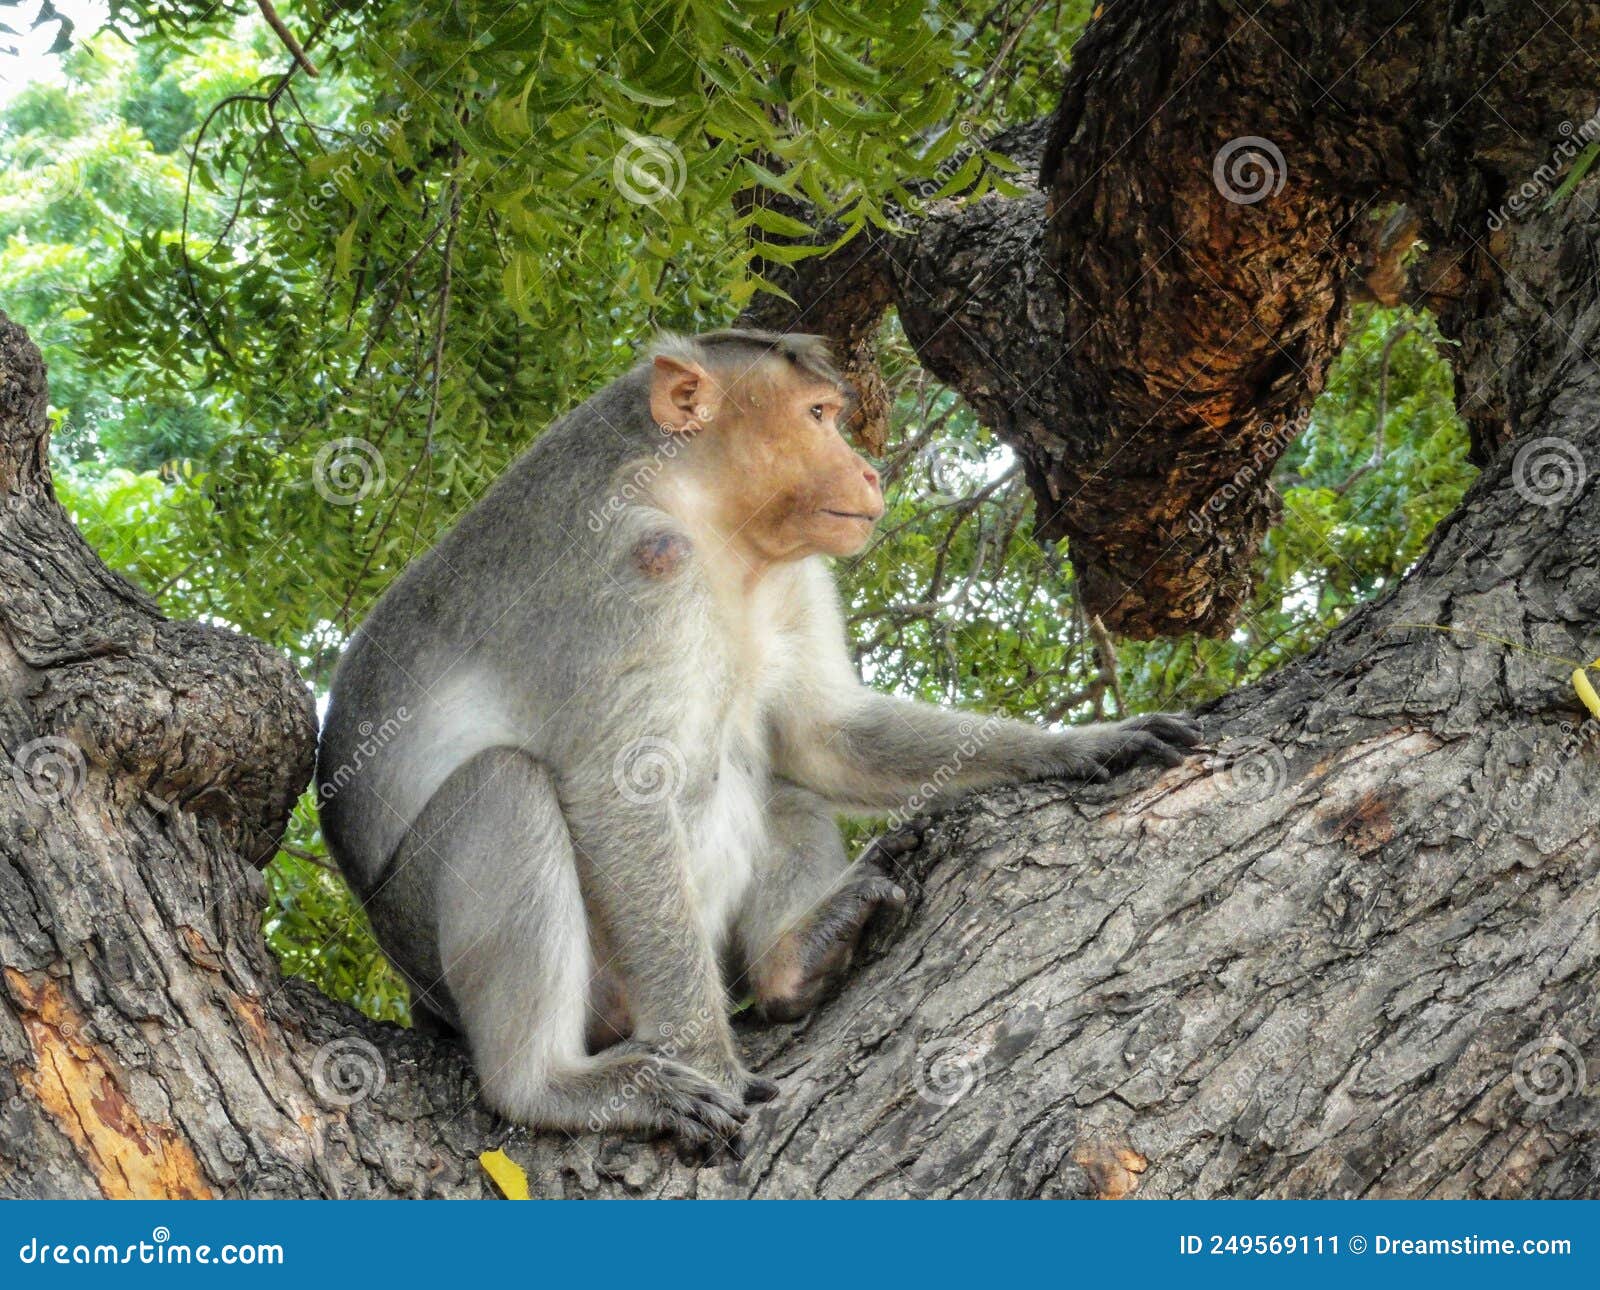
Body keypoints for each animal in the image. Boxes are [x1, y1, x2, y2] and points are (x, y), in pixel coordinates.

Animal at [316, 329, 1201, 1154]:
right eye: (817, 417)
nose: (870, 474)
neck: (710, 523)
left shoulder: (795, 566)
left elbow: (819, 735)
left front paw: (1084, 745)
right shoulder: (634, 565)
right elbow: (619, 788)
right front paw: (706, 1056)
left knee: (769, 772)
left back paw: (794, 958)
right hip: (475, 958)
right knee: (505, 785)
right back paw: (546, 1085)